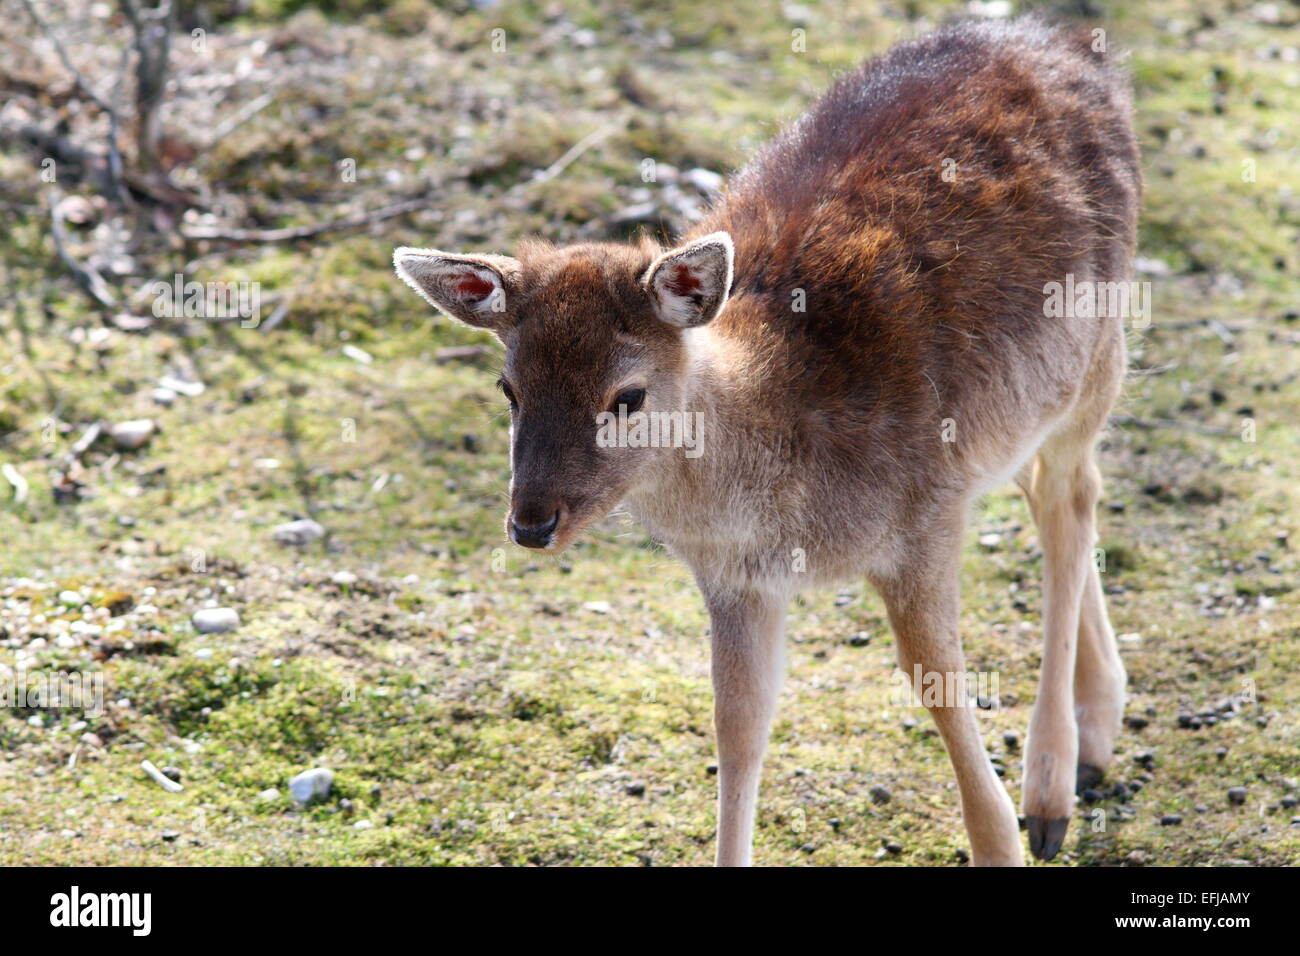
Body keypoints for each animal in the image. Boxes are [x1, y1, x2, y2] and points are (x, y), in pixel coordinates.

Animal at [393, 16, 1140, 866]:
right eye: (508, 389)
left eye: (627, 396)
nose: (530, 522)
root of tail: (1061, 38)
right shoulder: (737, 580)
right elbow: (739, 723)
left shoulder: (925, 516)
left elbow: (937, 680)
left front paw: (1005, 838)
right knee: (1046, 491)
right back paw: (1097, 731)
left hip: (1099, 354)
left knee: (1072, 498)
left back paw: (1050, 791)